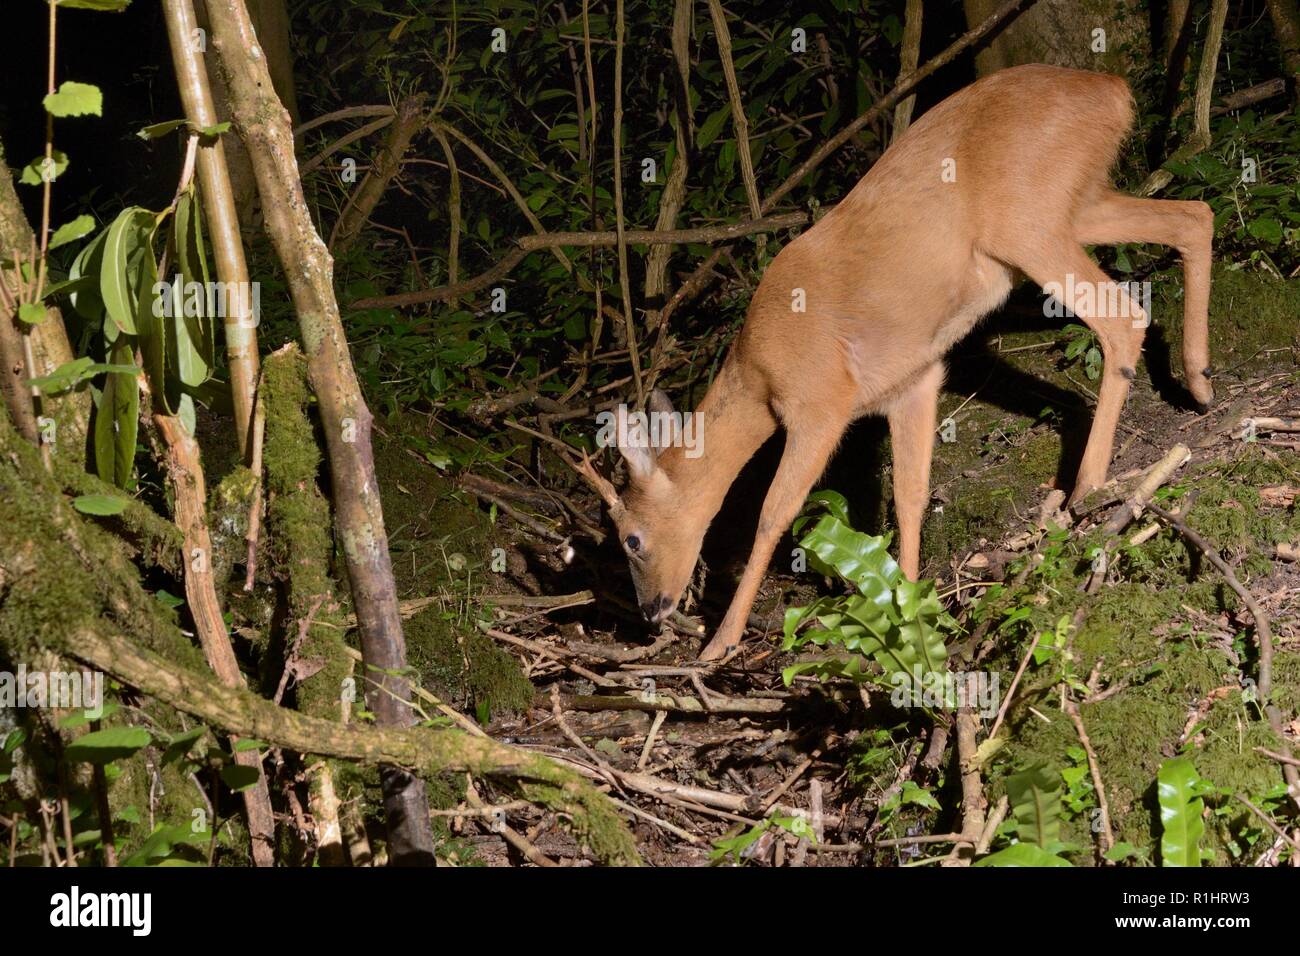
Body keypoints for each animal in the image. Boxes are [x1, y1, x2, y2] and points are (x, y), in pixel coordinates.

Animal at [577, 64, 1214, 662]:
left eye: (630, 538)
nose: (652, 611)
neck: (758, 374)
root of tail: (1112, 90)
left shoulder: (820, 402)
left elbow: (773, 513)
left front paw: (721, 641)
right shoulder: (913, 381)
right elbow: (909, 496)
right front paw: (912, 607)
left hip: (1028, 220)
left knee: (1124, 316)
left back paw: (1089, 486)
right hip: (1079, 202)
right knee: (1194, 213)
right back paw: (1200, 382)